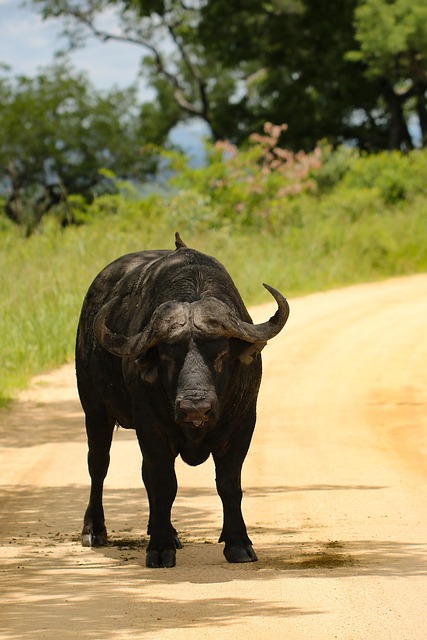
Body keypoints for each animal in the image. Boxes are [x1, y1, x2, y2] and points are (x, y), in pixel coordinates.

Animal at [76, 233, 289, 567]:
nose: (195, 408)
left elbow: (229, 483)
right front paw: (160, 548)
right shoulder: (151, 428)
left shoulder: (243, 425)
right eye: (167, 356)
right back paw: (94, 531)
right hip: (93, 408)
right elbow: (164, 484)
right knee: (98, 464)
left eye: (221, 353)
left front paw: (238, 544)